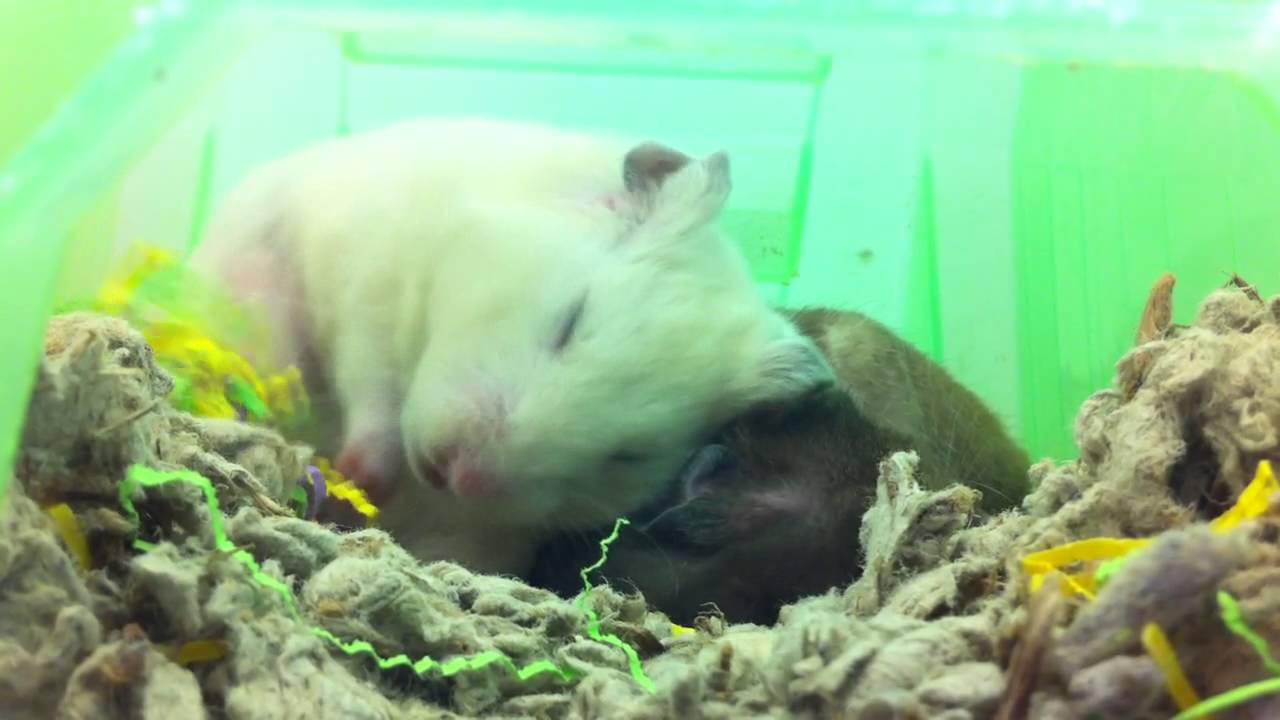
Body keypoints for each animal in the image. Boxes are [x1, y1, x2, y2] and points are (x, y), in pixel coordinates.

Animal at [191, 116, 835, 575]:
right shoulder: (368, 289)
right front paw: (360, 476)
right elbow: (372, 388)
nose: (464, 478)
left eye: (630, 455)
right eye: (571, 320)